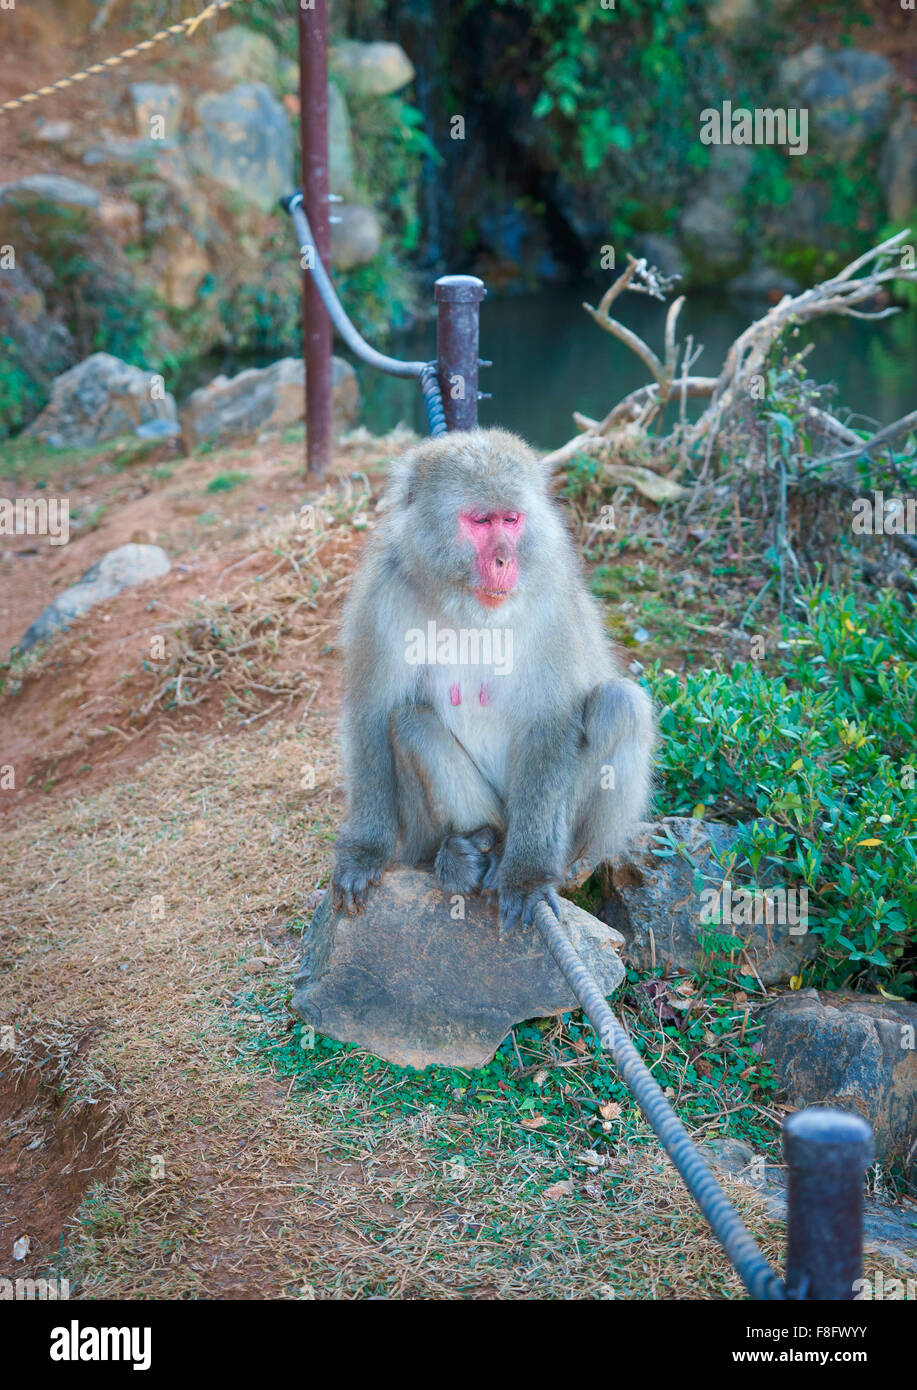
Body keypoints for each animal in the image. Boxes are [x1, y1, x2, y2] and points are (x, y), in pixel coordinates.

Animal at [331, 427, 655, 929]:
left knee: (619, 705)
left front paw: (526, 877)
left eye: (512, 519)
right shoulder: (382, 598)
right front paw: (366, 850)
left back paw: (565, 865)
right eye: (482, 521)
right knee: (409, 721)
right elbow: (372, 714)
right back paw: (466, 847)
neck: (466, 604)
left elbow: (548, 723)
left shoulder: (551, 601)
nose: (505, 561)